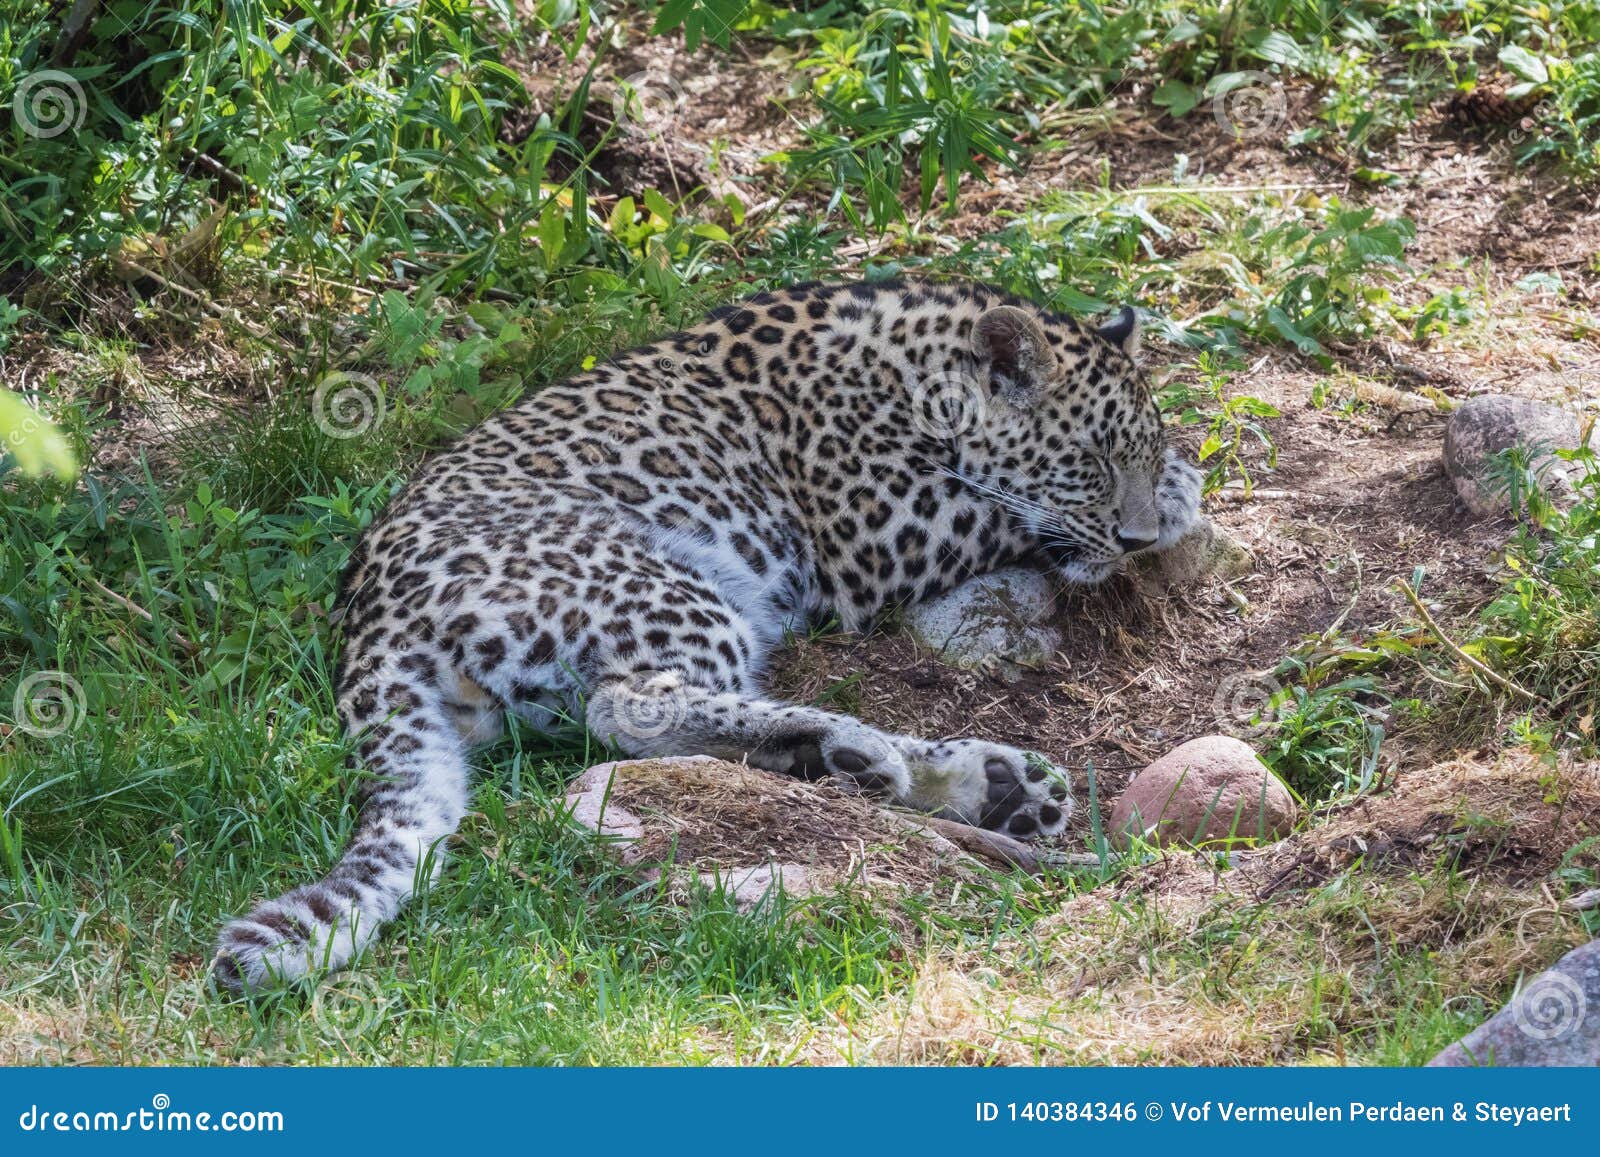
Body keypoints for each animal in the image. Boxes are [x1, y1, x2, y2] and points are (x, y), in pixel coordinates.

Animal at [213, 278, 1203, 990]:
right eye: (1091, 460)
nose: (1136, 538)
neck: (923, 361)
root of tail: (366, 620)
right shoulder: (880, 532)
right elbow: (997, 508)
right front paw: (1186, 487)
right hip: (666, 582)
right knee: (628, 707)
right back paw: (877, 755)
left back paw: (976, 782)